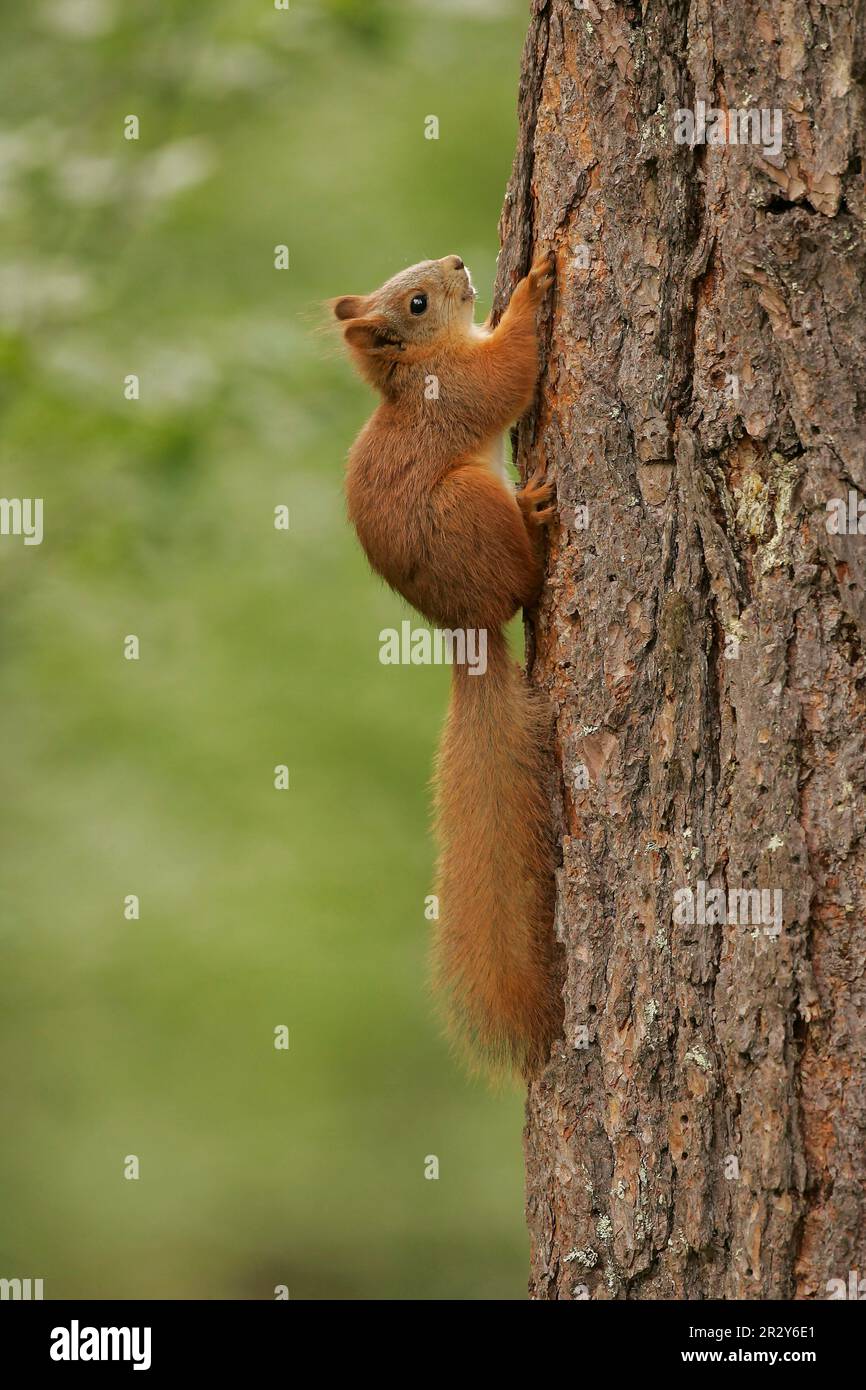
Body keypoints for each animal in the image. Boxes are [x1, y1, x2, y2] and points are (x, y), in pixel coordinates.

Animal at [333, 250, 562, 1077]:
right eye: (418, 303)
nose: (461, 261)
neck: (424, 365)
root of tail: (466, 629)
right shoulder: (460, 389)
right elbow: (505, 372)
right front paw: (530, 288)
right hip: (468, 504)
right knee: (524, 580)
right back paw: (533, 518)